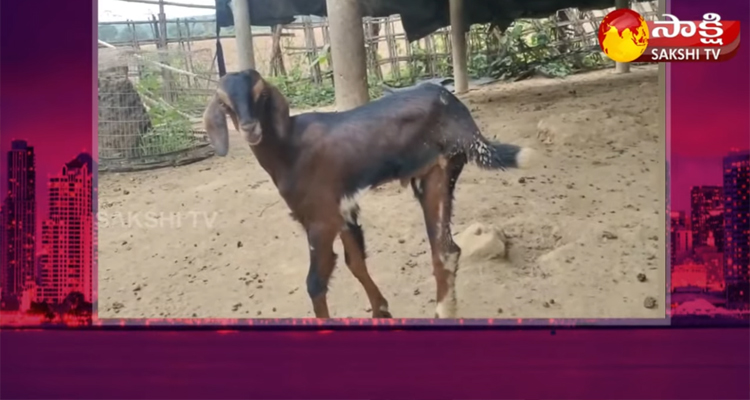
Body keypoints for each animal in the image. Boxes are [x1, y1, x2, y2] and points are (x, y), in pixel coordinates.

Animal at [203, 69, 536, 319]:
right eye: (226, 105)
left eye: (261, 96)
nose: (250, 128)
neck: (289, 148)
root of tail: (459, 111)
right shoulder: (342, 210)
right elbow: (355, 262)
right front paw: (381, 310)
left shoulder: (320, 219)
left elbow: (315, 283)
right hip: (431, 175)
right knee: (447, 248)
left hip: (439, 171)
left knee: (444, 250)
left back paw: (442, 312)